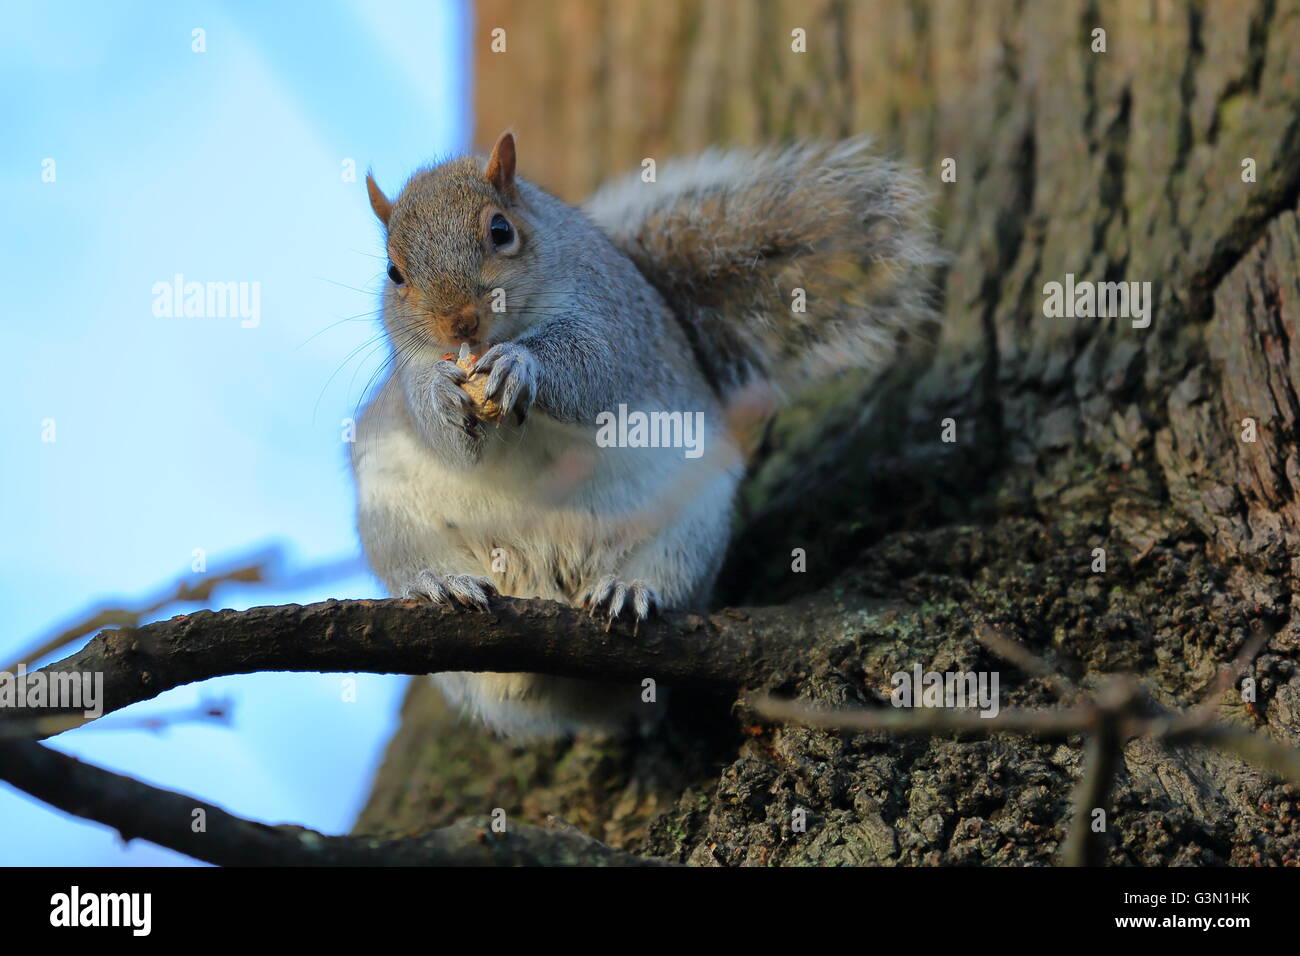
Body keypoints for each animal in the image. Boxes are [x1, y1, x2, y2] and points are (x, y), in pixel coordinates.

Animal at [351, 131, 939, 737]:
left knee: (667, 572)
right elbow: (443, 437)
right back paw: (445, 585)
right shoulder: (410, 380)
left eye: (500, 230)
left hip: (692, 522)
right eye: (394, 274)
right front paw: (441, 392)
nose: (459, 324)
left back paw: (627, 589)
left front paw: (519, 364)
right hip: (393, 519)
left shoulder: (613, 318)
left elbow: (593, 367)